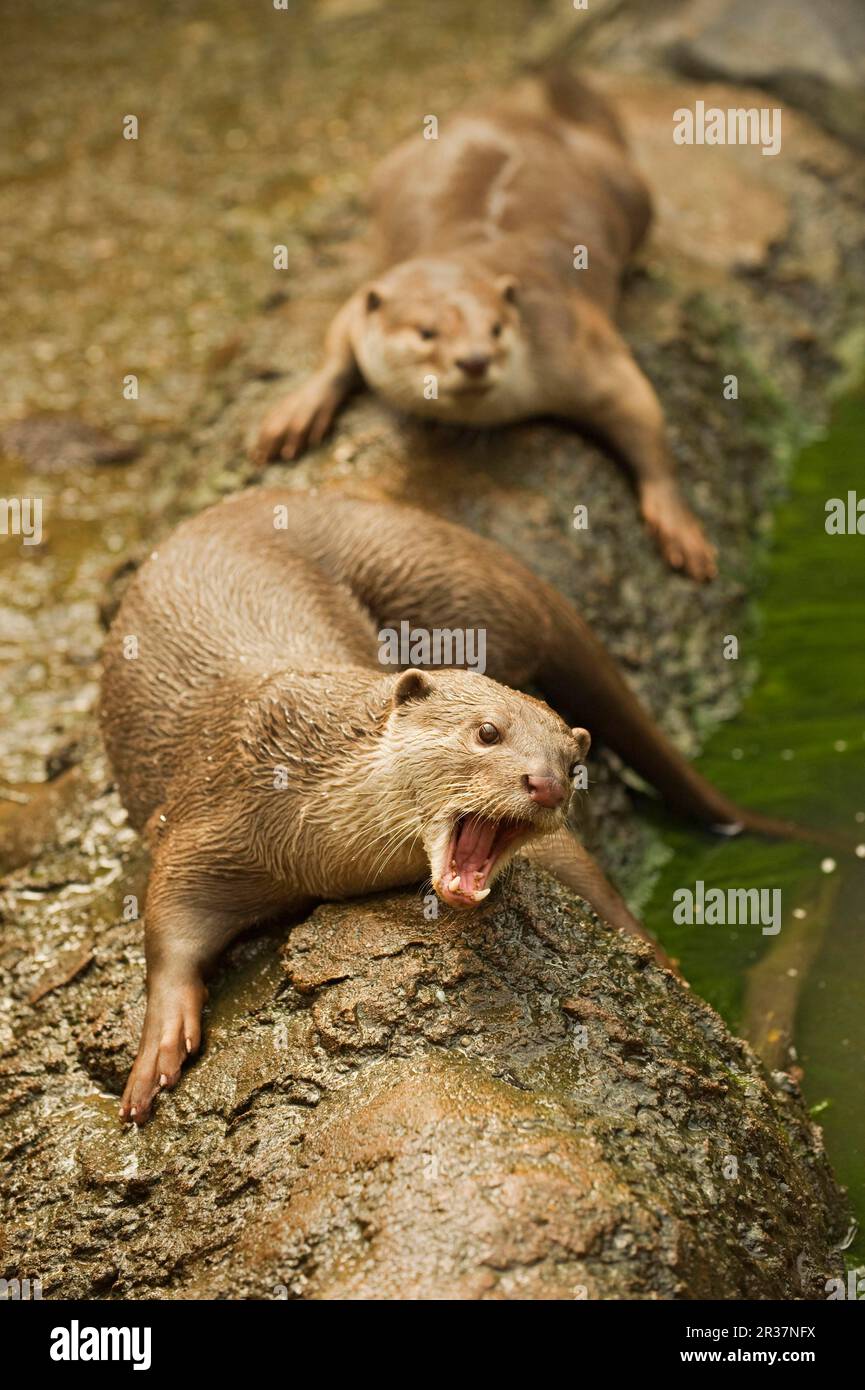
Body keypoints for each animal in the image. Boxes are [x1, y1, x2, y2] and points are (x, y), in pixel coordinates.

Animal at [102, 490, 809, 1124]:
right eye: (488, 732)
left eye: (571, 763)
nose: (546, 784)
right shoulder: (214, 811)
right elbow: (169, 915)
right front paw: (157, 1048)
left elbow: (585, 874)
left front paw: (662, 964)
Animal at [254, 68, 717, 582]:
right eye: (426, 332)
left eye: (496, 329)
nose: (474, 361)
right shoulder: (363, 301)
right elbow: (336, 346)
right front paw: (295, 413)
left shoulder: (572, 342)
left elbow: (640, 408)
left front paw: (676, 520)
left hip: (630, 188)